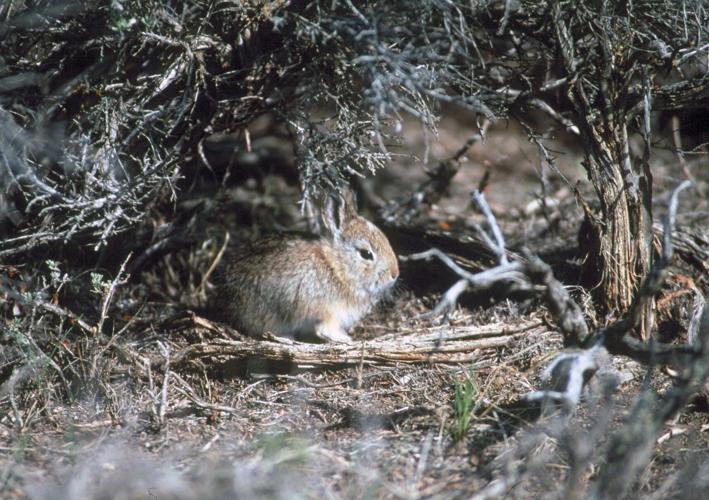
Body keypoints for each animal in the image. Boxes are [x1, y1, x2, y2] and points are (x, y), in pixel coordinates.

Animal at [215, 190, 399, 343]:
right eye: (366, 254)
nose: (395, 274)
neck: (336, 268)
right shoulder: (327, 311)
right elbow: (325, 330)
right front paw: (344, 339)